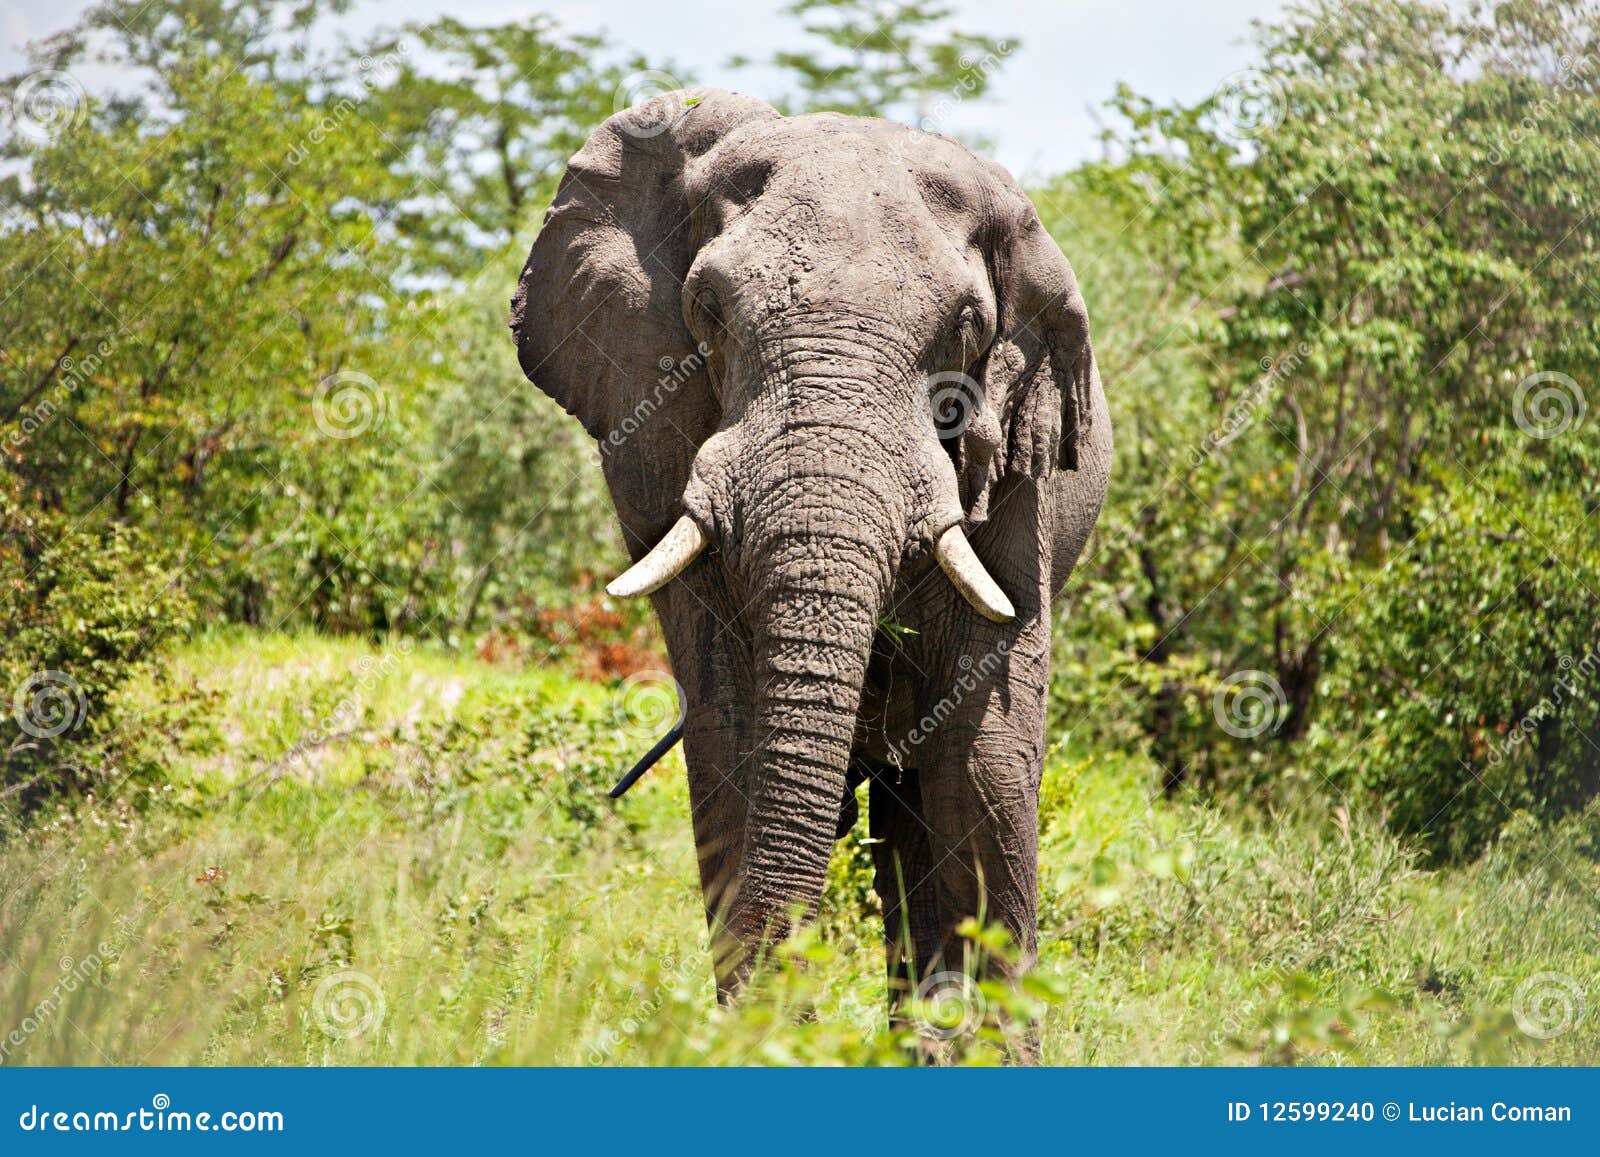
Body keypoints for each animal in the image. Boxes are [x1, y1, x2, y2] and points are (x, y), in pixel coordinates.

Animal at [510, 87, 1111, 1051]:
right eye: (706, 309)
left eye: (969, 329)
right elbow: (730, 727)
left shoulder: (1022, 463)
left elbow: (983, 752)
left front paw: (991, 1057)